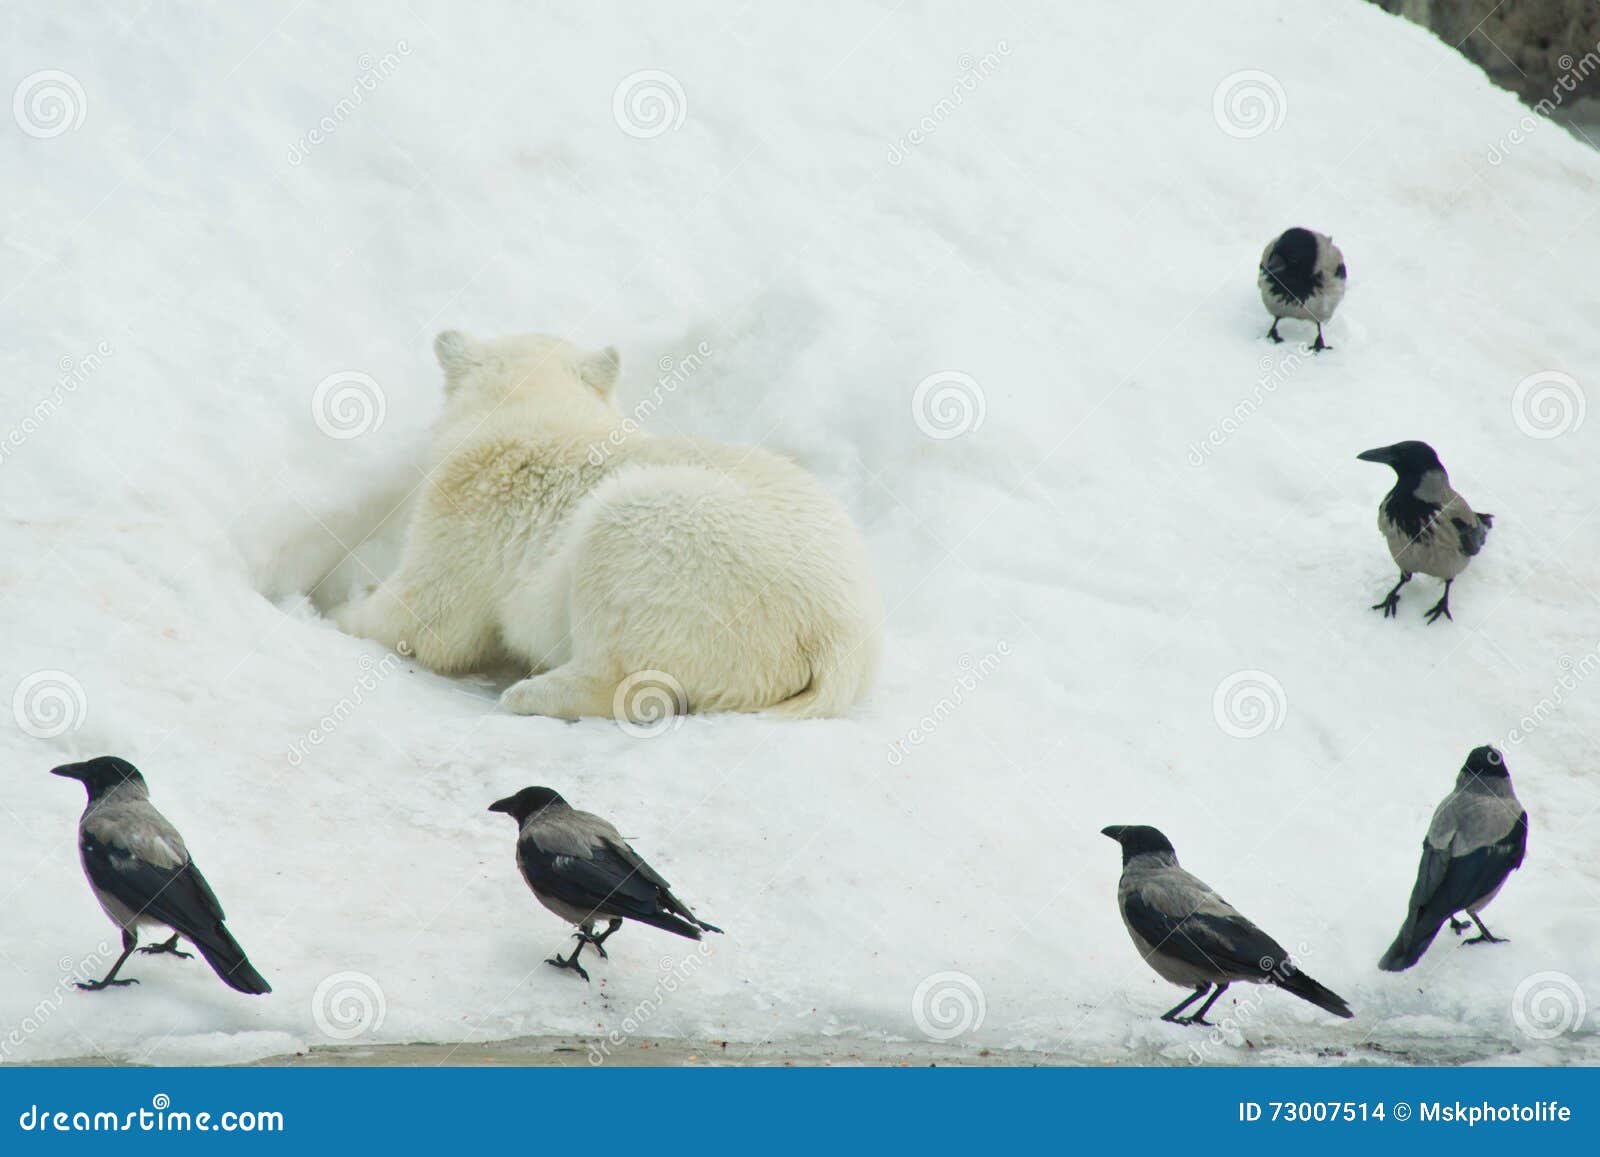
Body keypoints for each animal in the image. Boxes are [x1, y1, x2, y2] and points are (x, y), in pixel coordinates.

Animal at [331, 329, 882, 722]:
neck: (539, 410)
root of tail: (834, 636)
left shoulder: (470, 508)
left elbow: (426, 618)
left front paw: (339, 609)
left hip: (685, 559)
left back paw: (534, 692)